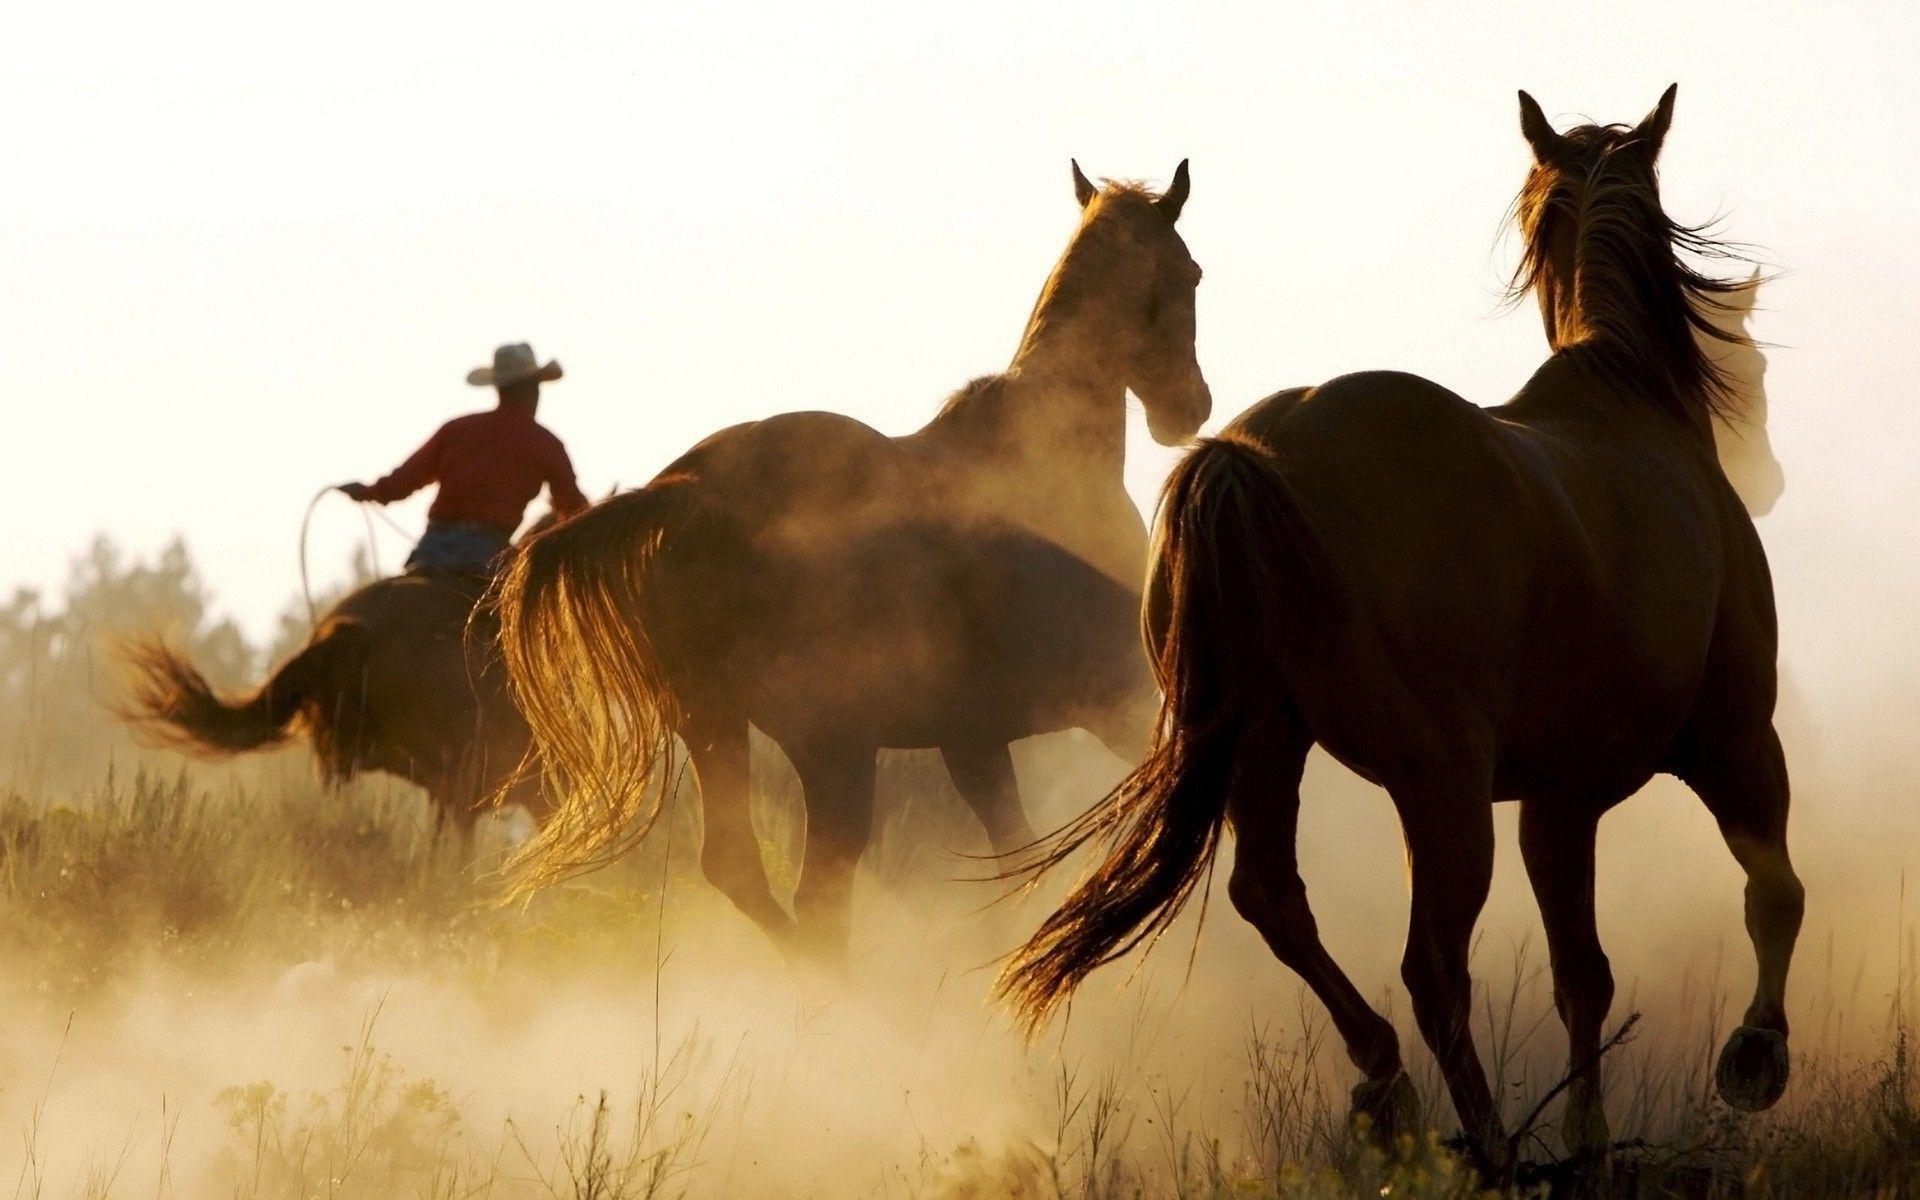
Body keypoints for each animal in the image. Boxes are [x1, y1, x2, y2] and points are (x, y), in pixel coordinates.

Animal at [493, 162, 1210, 964]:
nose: (1189, 408)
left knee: (748, 874)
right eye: (1191, 273)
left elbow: (1015, 854)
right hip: (832, 750)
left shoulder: (973, 738)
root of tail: (688, 493)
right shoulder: (1115, 699)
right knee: (815, 897)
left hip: (722, 726)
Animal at [999, 87, 1802, 1168]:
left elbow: (1584, 976)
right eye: (1744, 361)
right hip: (1441, 787)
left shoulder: (1561, 802)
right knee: (1432, 969)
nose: (1769, 475)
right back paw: (1490, 1147)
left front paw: (1589, 1141)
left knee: (1278, 903)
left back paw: (1388, 1090)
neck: (1633, 406)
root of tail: (1253, 457)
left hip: (1270, 747)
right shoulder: (1735, 741)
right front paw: (1753, 1058)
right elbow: (1774, 893)